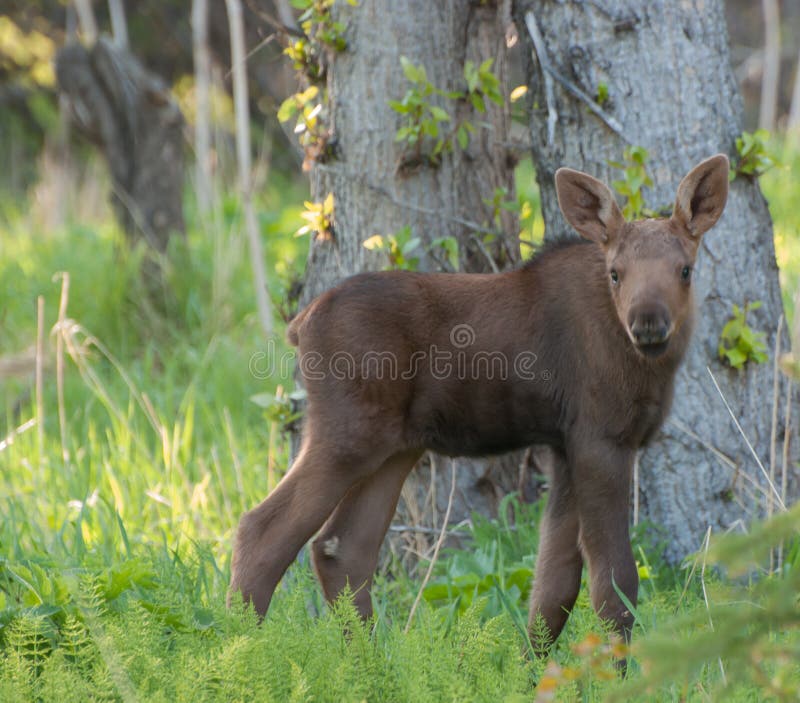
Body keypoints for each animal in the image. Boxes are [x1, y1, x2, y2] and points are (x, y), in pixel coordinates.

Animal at [229, 154, 729, 654]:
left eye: (685, 269)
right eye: (616, 273)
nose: (648, 323)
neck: (650, 369)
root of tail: (300, 325)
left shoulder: (564, 445)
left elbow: (553, 586)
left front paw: (533, 670)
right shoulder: (601, 438)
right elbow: (615, 583)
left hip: (396, 446)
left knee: (342, 547)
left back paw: (371, 661)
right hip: (348, 432)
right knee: (262, 531)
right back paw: (239, 651)